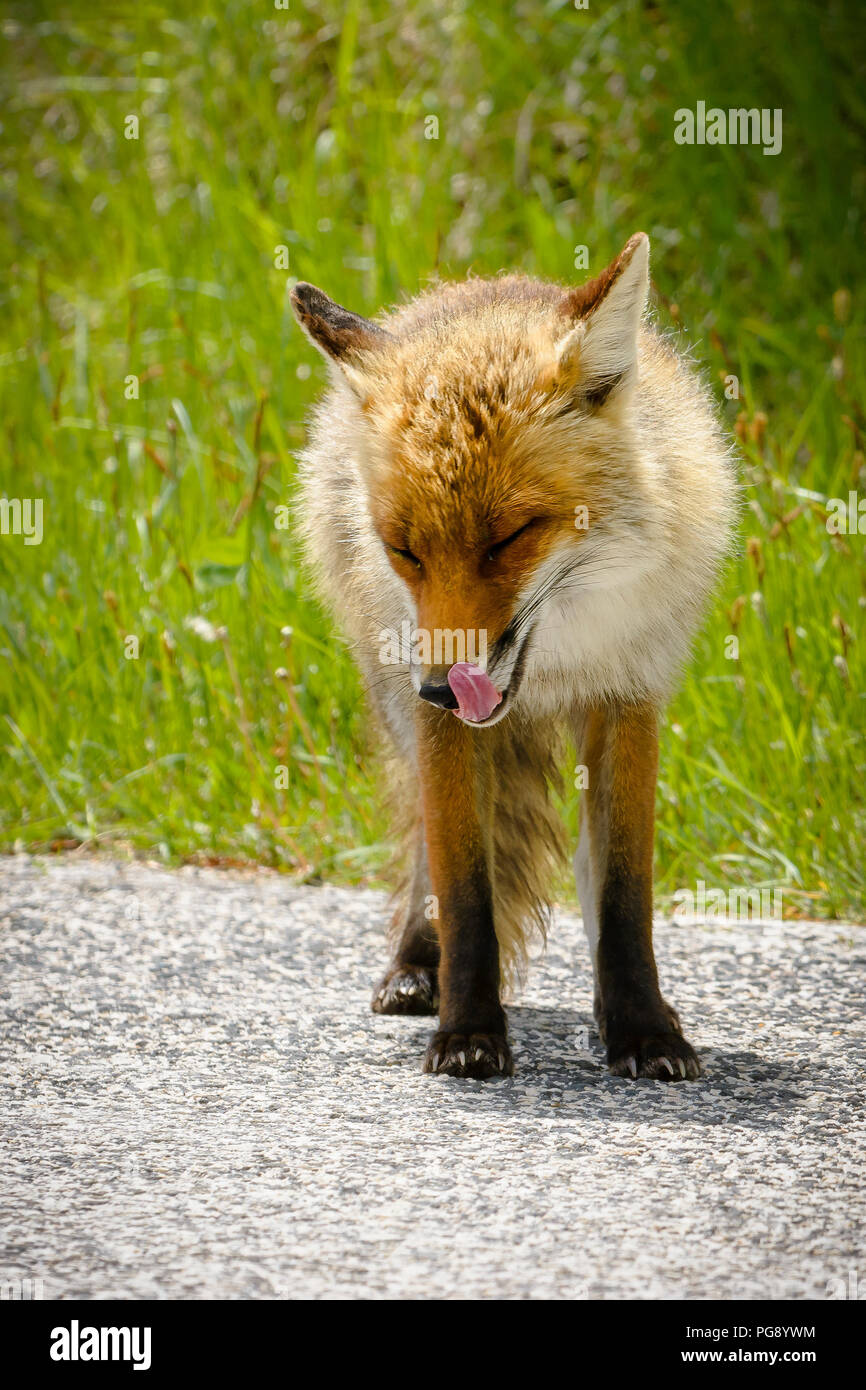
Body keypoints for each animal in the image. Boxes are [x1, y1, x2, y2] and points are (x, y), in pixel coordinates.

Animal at [291, 232, 737, 1082]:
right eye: (404, 551)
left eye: (508, 538)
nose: (441, 686)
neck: (555, 663)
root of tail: (481, 286)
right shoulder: (440, 733)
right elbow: (466, 890)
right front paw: (468, 1031)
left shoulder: (627, 696)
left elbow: (622, 895)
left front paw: (642, 1029)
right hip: (398, 710)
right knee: (426, 863)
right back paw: (416, 964)